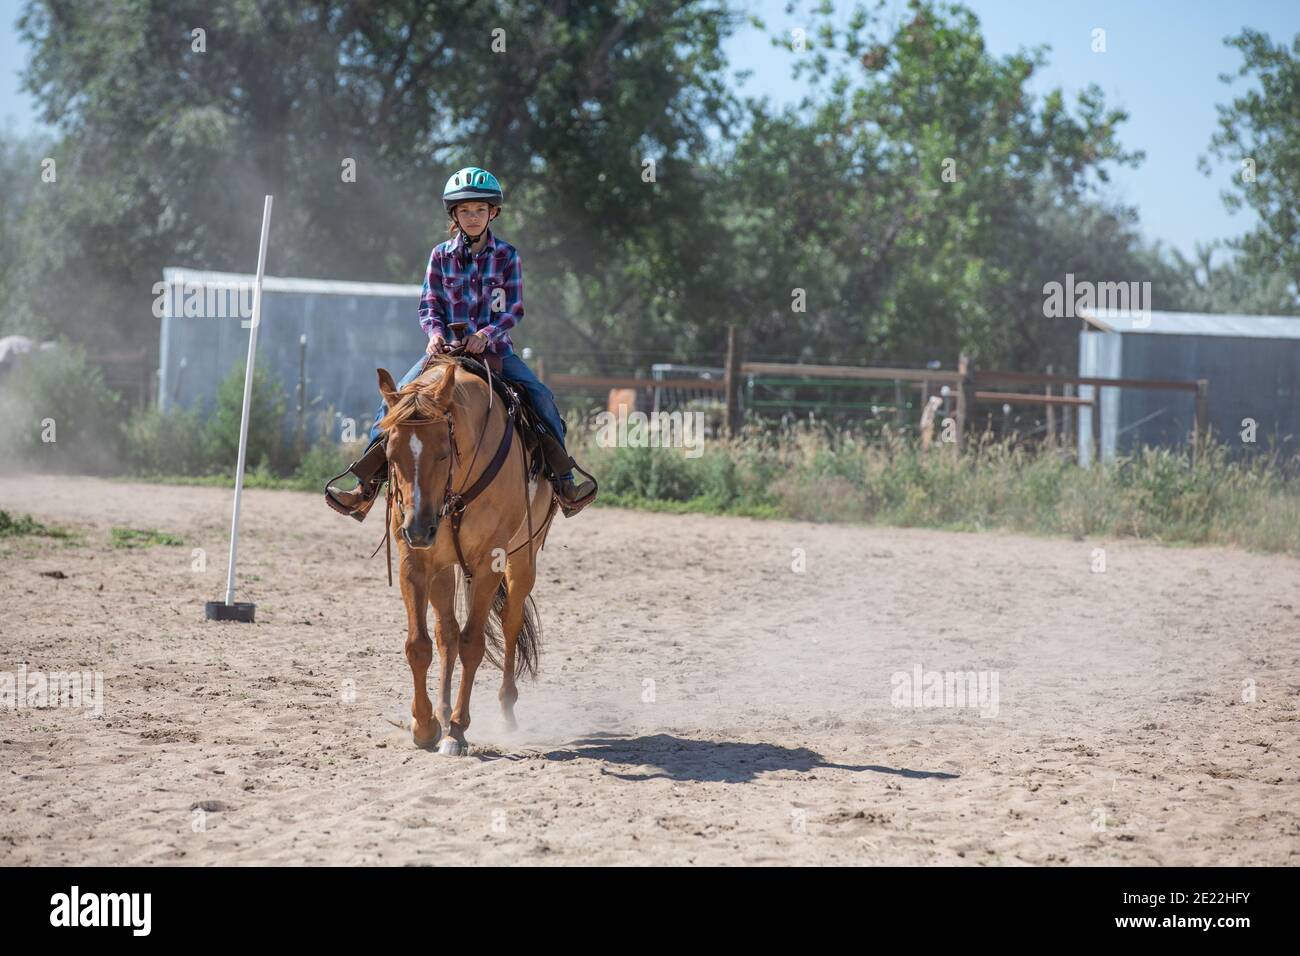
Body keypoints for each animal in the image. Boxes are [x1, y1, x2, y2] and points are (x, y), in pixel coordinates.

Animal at [375, 356, 556, 755]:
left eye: (444, 450)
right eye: (390, 453)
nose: (418, 528)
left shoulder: (489, 561)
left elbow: (473, 644)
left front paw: (456, 731)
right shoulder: (415, 561)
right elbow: (419, 645)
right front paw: (425, 726)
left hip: (523, 559)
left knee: (509, 621)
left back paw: (504, 713)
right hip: (444, 567)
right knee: (447, 632)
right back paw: (442, 712)